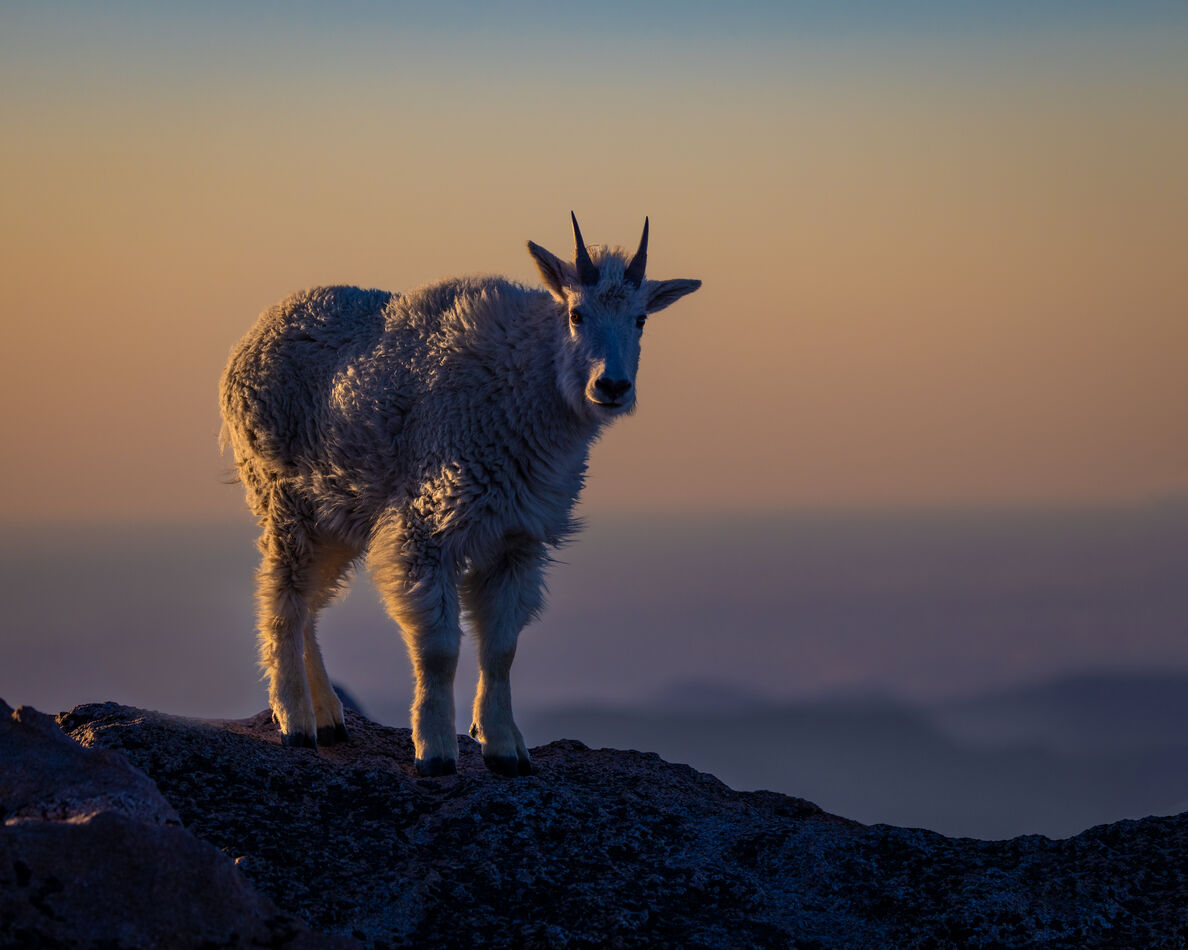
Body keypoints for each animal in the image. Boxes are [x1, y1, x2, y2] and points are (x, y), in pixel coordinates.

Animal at [219, 214, 701, 775]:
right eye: (576, 313)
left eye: (641, 319)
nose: (612, 387)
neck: (526, 383)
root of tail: (250, 339)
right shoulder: (427, 527)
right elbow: (439, 649)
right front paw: (434, 751)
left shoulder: (517, 539)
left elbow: (501, 648)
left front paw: (504, 749)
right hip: (283, 499)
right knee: (283, 597)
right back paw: (295, 721)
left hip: (336, 512)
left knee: (311, 601)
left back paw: (329, 717)